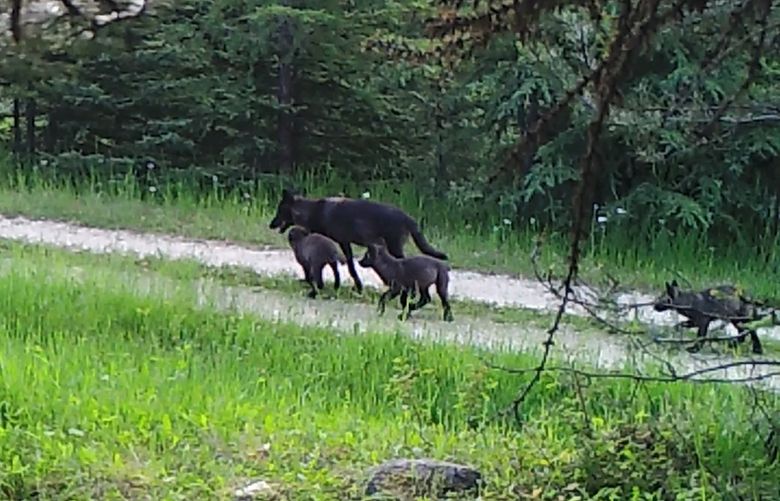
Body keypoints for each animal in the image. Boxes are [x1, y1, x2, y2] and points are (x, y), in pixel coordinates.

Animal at [269, 189, 448, 292]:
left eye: (279, 210)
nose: (270, 225)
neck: (313, 211)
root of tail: (407, 217)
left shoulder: (344, 243)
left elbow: (350, 267)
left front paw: (358, 286)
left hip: (394, 247)